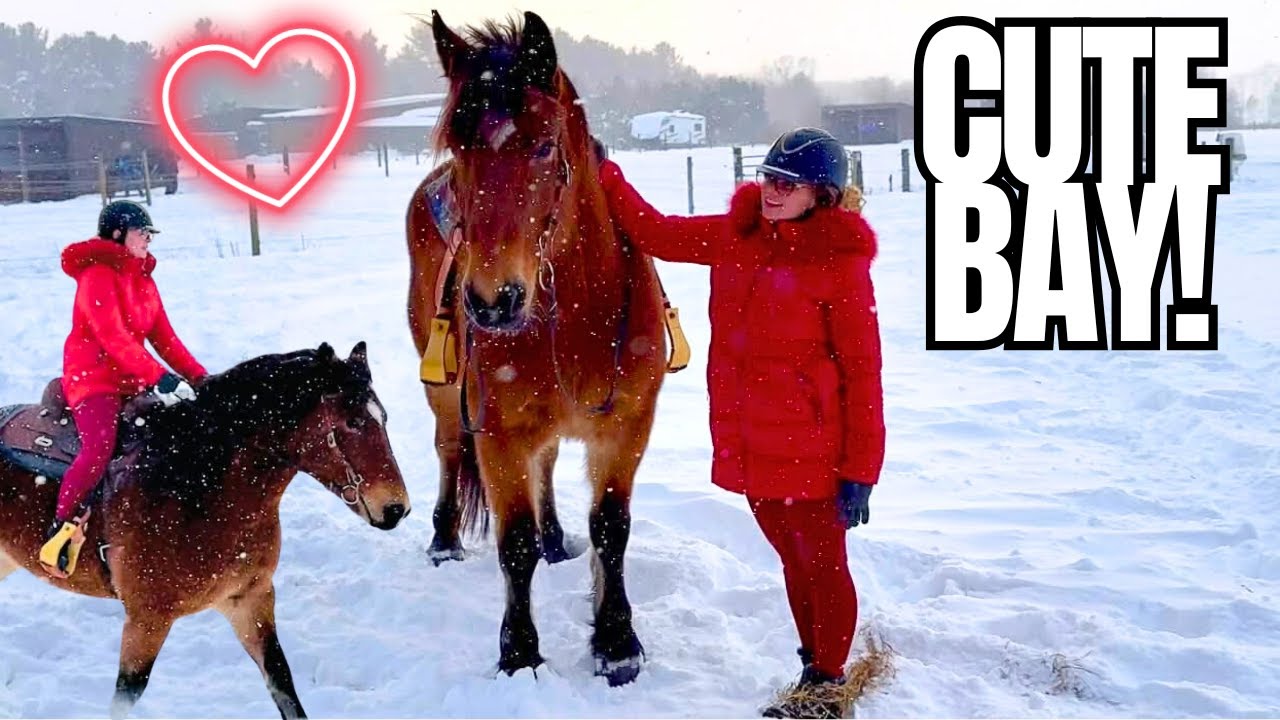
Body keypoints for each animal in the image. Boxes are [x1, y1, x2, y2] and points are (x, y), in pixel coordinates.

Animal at [0, 342, 411, 719]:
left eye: (385, 418)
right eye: (352, 423)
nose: (397, 508)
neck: (197, 489)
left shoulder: (250, 600)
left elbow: (282, 682)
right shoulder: (146, 621)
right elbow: (125, 699)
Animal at [405, 10, 670, 686]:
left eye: (545, 146)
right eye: (459, 148)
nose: (491, 300)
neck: (572, 316)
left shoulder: (627, 426)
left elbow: (610, 529)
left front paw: (616, 643)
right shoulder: (498, 432)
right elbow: (514, 543)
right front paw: (519, 652)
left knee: (546, 465)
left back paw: (555, 539)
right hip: (444, 391)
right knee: (449, 449)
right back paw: (444, 540)